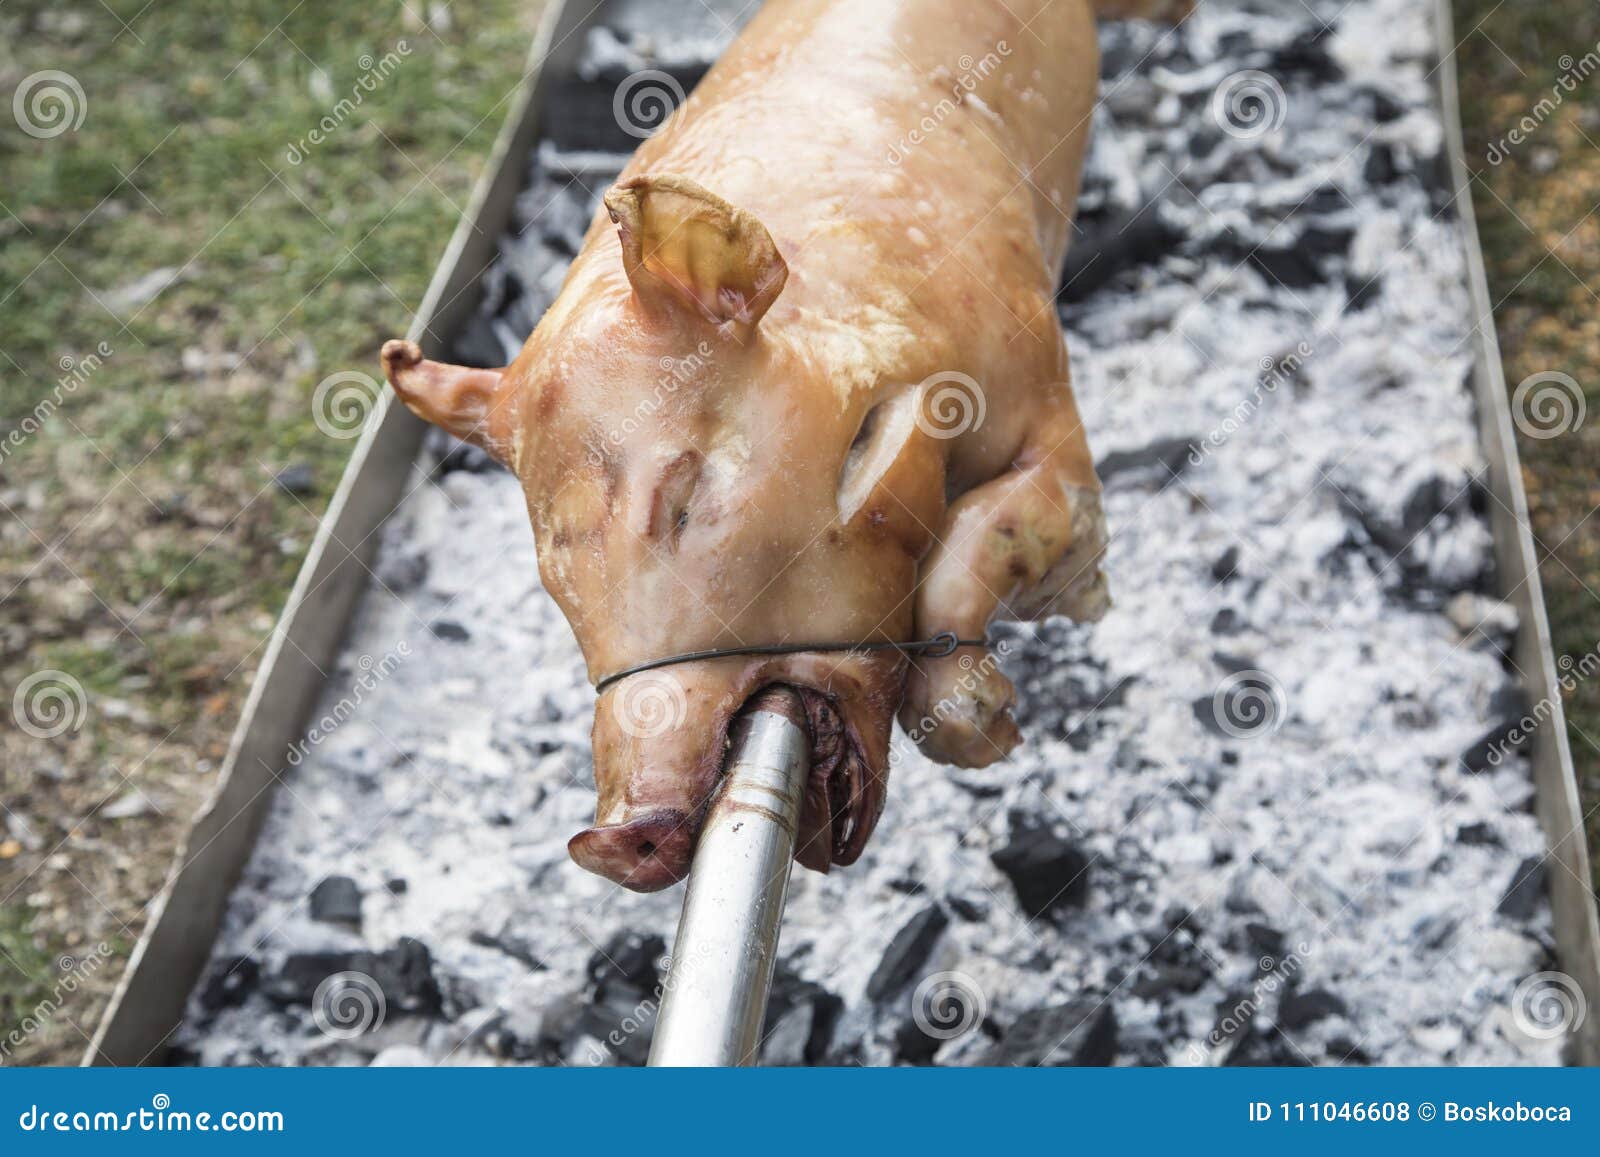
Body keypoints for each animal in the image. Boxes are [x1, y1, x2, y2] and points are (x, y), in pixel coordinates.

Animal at [381, 0, 1191, 891]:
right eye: (552, 574)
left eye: (688, 496)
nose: (611, 838)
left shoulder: (1046, 388)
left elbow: (1019, 523)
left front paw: (1014, 699)